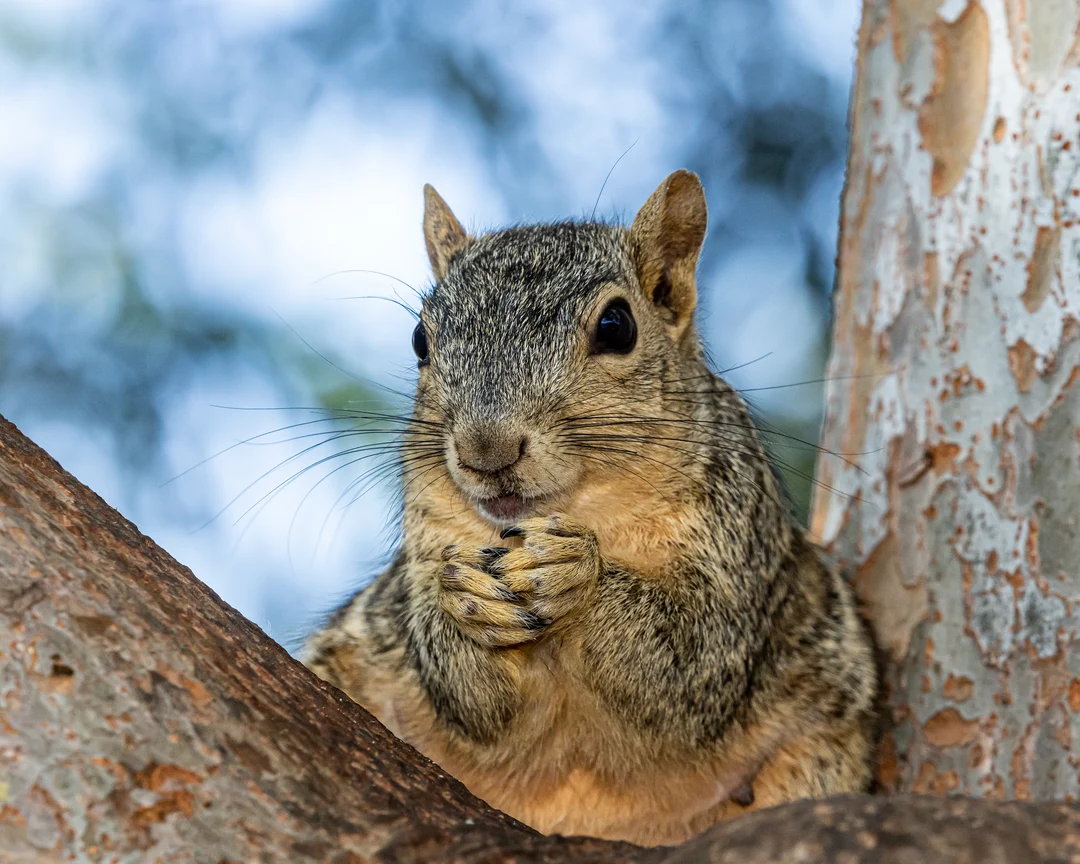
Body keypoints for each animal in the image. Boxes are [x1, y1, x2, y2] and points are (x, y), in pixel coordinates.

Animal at [303, 170, 878, 846]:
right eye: (421, 339)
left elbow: (697, 659)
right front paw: (461, 598)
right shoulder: (424, 548)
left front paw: (579, 575)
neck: (576, 512)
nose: (485, 449)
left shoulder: (740, 552)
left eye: (617, 327)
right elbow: (461, 687)